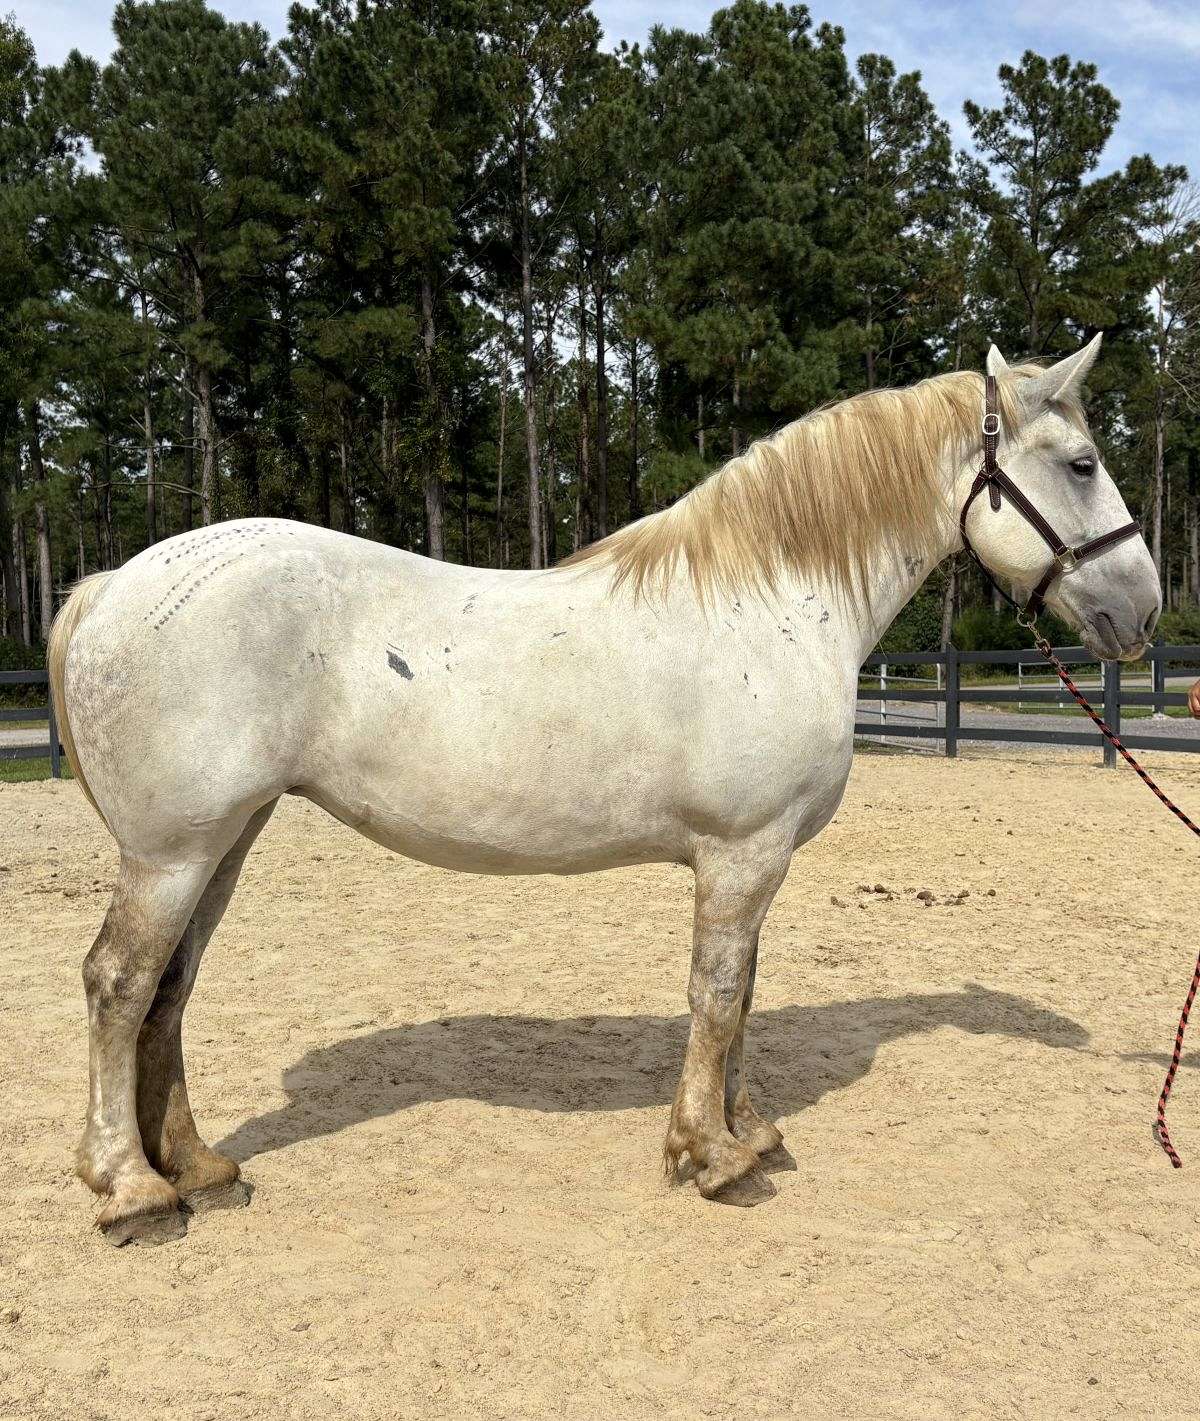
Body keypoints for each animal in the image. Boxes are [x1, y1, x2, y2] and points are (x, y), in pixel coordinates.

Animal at [49, 336, 1160, 1244]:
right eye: (1082, 464)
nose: (1144, 609)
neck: (773, 599)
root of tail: (110, 586)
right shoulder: (742, 852)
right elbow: (718, 996)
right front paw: (711, 1156)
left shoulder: (755, 860)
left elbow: (745, 994)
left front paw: (749, 1133)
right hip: (172, 851)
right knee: (119, 983)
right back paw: (132, 1190)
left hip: (225, 840)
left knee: (171, 991)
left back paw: (199, 1169)